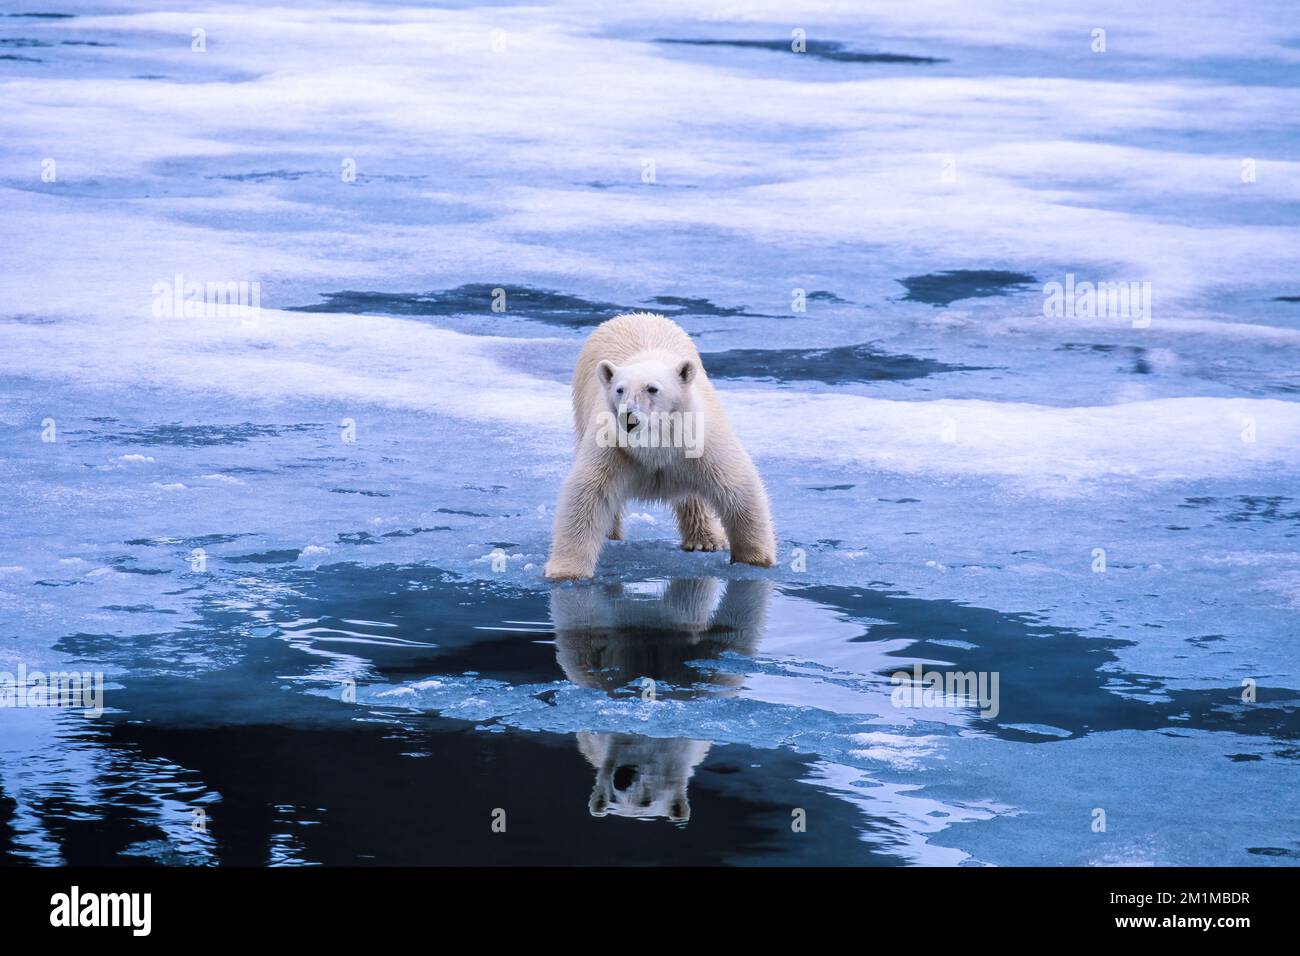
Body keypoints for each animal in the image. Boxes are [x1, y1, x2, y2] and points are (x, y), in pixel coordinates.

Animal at [544, 312, 776, 581]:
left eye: (652, 388)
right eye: (620, 390)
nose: (629, 417)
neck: (656, 444)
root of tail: (633, 315)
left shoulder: (698, 440)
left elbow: (737, 487)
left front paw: (755, 558)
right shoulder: (613, 446)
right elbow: (588, 494)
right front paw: (566, 571)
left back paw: (705, 540)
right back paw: (612, 533)